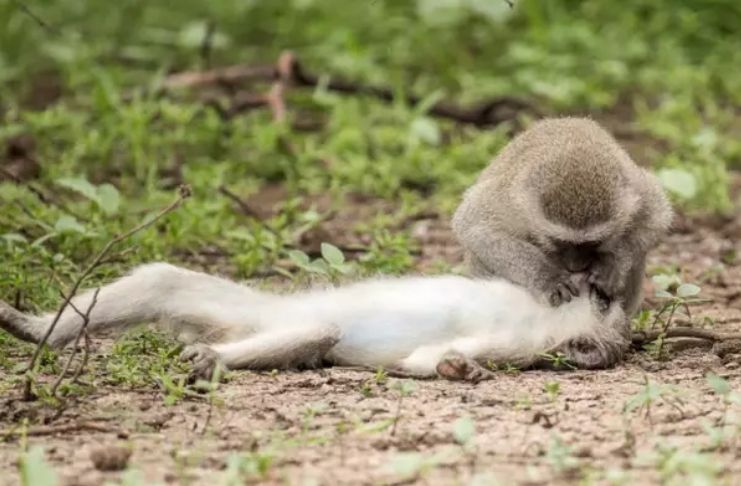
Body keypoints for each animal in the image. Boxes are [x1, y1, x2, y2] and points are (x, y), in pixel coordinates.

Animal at [452, 117, 672, 317]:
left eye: (593, 243)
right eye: (559, 241)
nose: (576, 267)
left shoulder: (635, 189)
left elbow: (657, 218)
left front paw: (612, 264)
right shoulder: (511, 200)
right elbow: (474, 226)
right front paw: (547, 276)